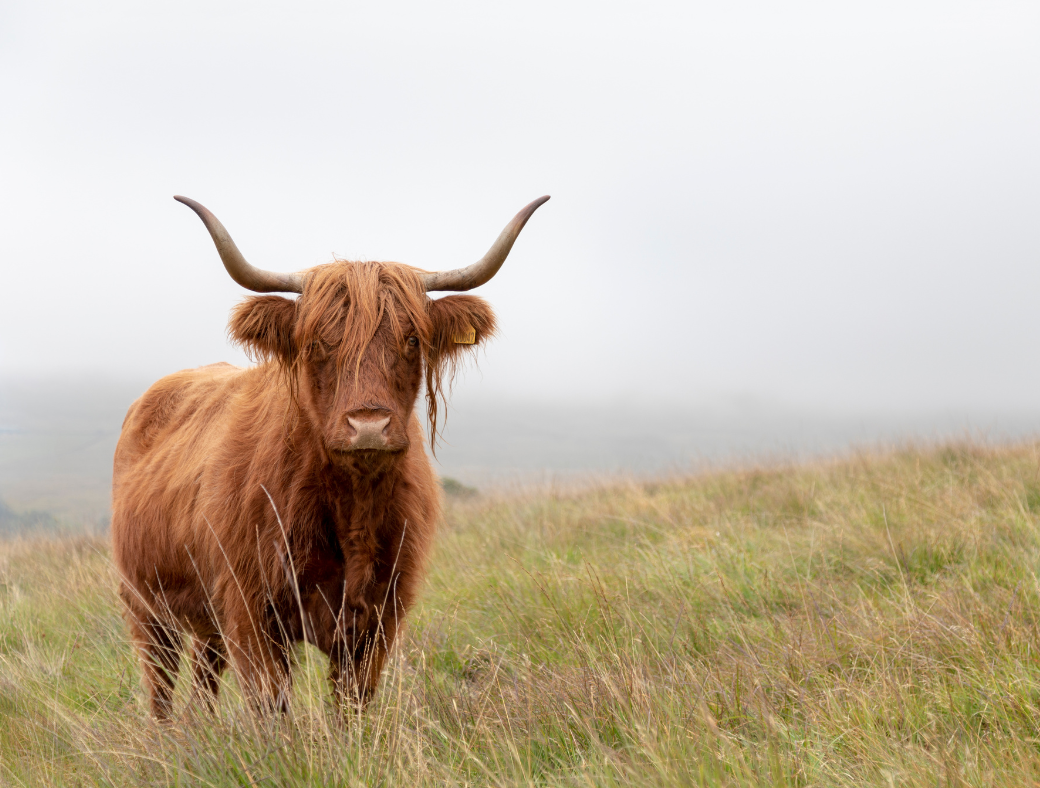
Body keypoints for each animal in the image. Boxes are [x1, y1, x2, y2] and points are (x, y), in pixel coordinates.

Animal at [111, 194, 548, 719]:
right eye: (318, 343)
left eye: (412, 340)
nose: (369, 426)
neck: (351, 507)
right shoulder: (249, 609)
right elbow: (271, 707)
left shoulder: (379, 617)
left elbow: (352, 707)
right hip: (145, 603)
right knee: (160, 686)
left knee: (202, 679)